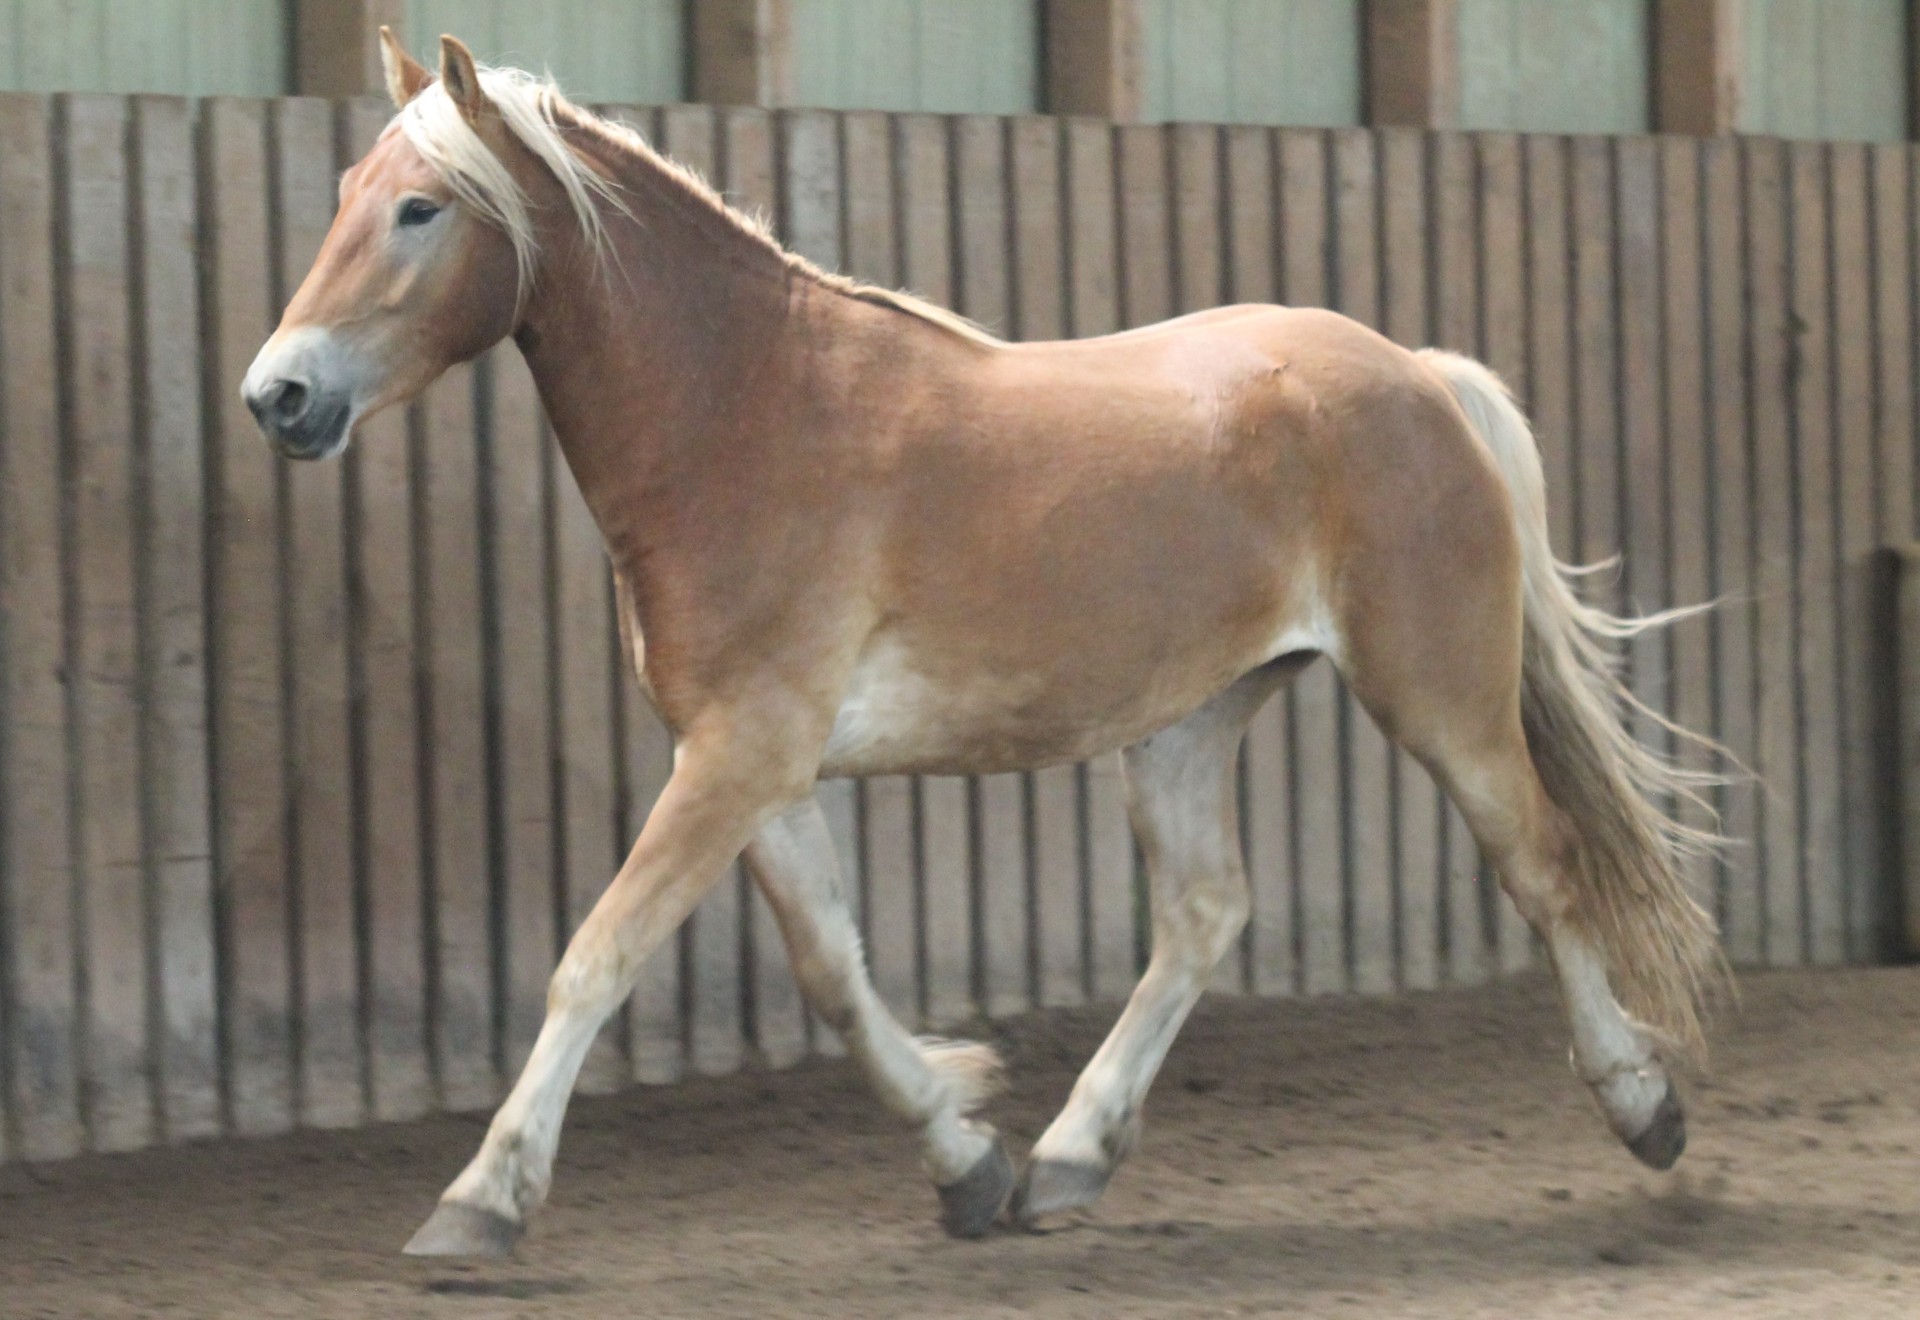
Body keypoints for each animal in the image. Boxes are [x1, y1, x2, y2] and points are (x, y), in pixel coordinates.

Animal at [242, 30, 1726, 1257]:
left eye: (422, 207)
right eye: (343, 191)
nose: (279, 397)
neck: (746, 414)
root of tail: (1417, 375)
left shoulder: (735, 760)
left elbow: (594, 960)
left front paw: (479, 1204)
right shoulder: (754, 769)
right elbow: (835, 976)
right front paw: (968, 1156)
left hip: (1438, 696)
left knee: (1542, 866)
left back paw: (1646, 1108)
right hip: (1188, 720)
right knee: (1203, 914)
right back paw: (1069, 1161)